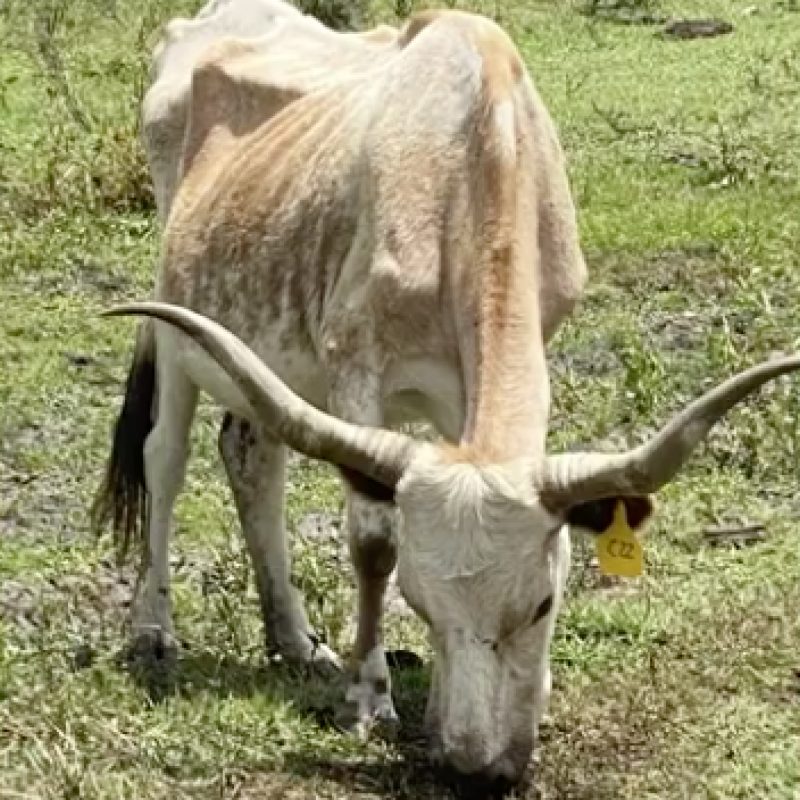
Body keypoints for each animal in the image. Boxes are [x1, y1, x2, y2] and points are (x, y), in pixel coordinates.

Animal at [94, 7, 800, 789]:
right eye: (420, 603)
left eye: (543, 604)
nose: (475, 768)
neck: (471, 158)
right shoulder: (355, 368)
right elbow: (372, 540)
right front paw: (369, 698)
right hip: (178, 327)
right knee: (164, 458)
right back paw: (154, 630)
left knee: (252, 458)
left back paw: (294, 639)